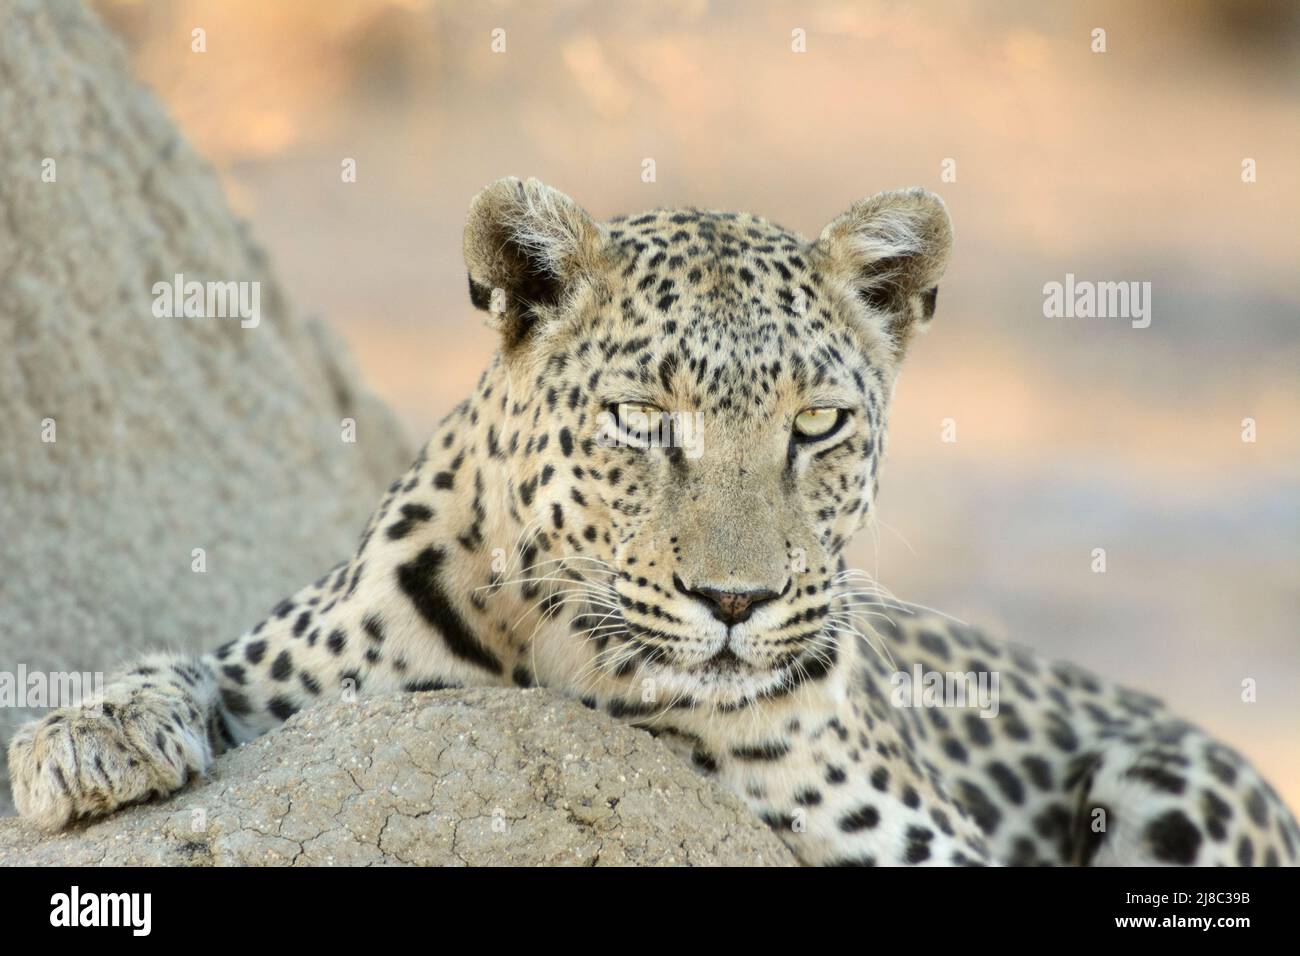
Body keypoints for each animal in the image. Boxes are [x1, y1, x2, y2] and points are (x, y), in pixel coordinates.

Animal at [9, 177, 1298, 867]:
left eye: (817, 423)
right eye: (641, 418)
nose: (736, 601)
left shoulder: (918, 837)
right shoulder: (306, 665)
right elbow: (190, 663)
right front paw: (86, 737)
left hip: (1172, 779)